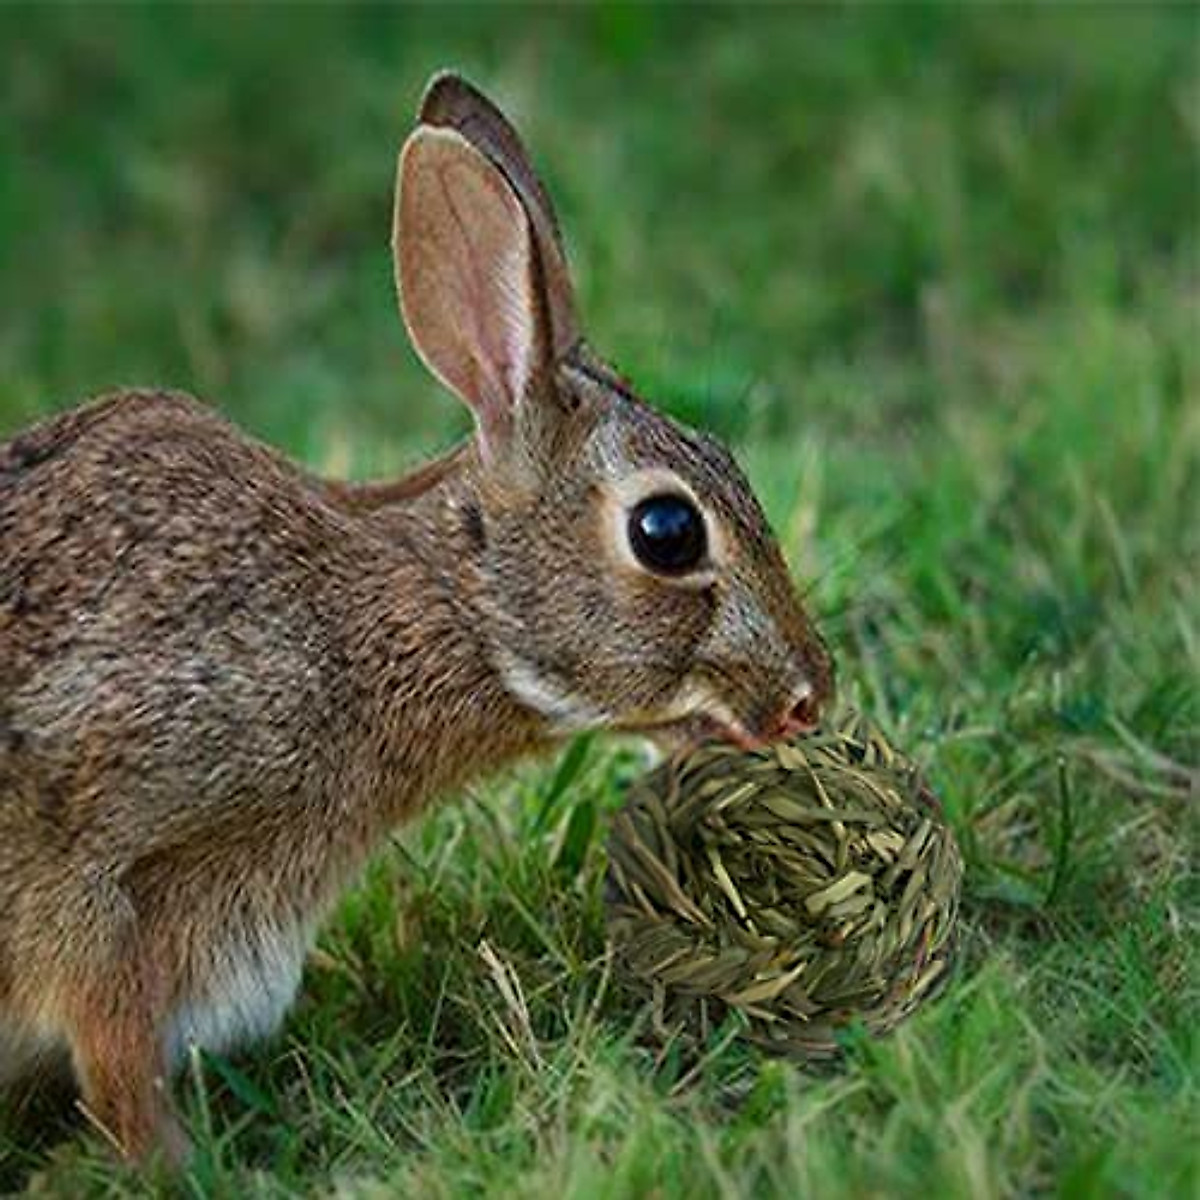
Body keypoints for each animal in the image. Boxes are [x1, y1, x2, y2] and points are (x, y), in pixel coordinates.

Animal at [0, 71, 833, 1163]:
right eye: (666, 530)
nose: (810, 694)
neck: (435, 607)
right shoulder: (98, 849)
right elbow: (115, 1050)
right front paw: (179, 1168)